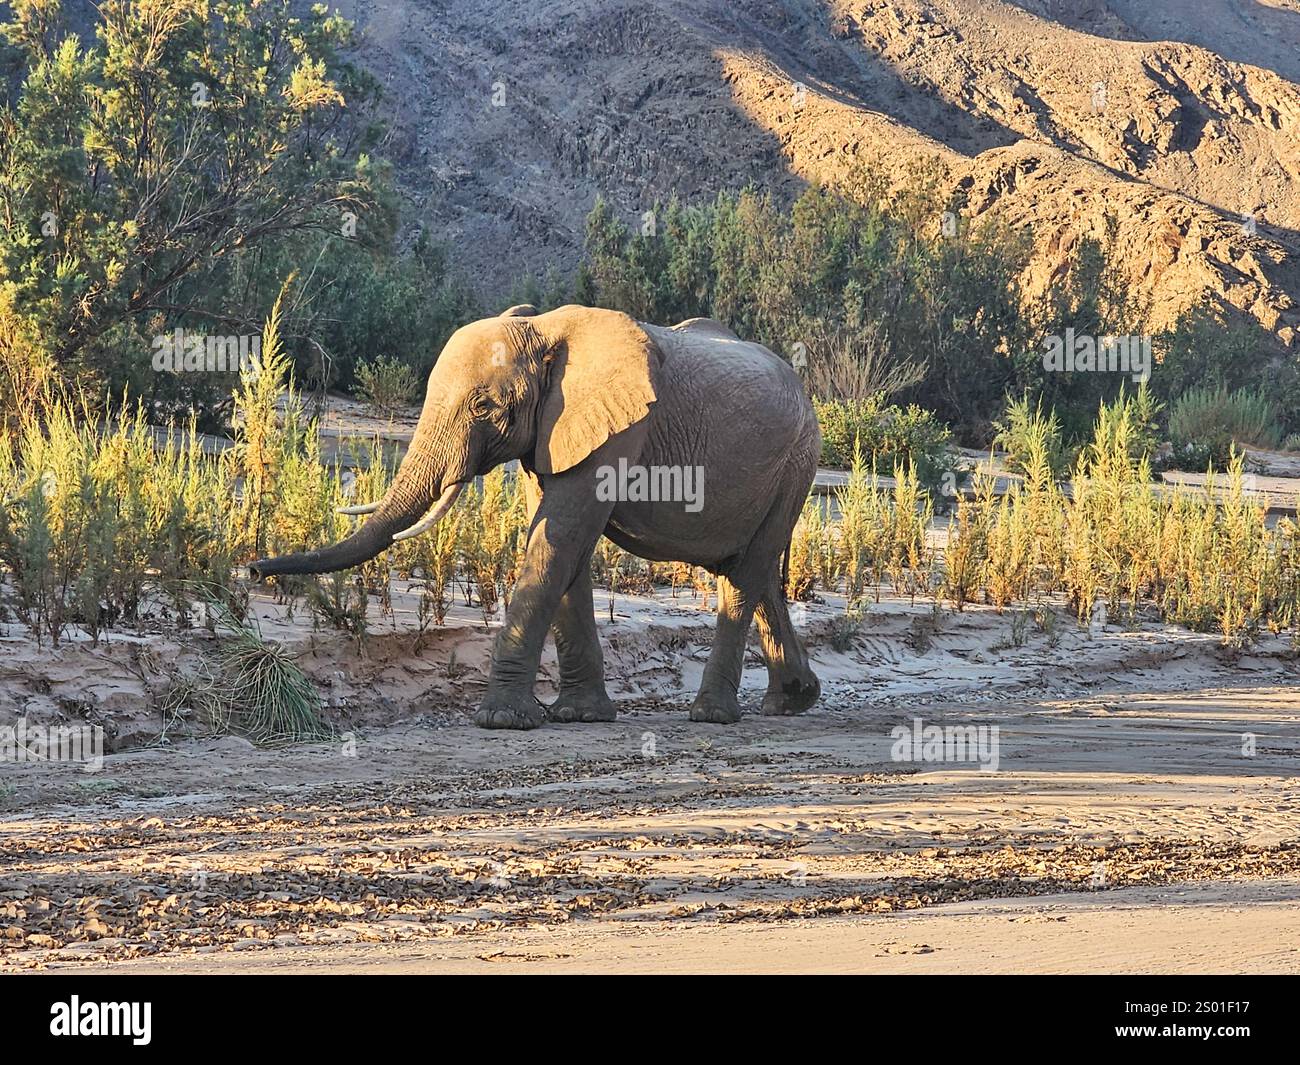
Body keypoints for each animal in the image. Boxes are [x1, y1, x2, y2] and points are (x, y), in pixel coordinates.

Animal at [251, 304, 822, 730]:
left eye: (483, 406)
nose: (255, 568)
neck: (545, 330)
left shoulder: (617, 427)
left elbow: (559, 540)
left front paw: (501, 721)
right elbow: (561, 545)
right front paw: (579, 716)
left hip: (797, 462)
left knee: (747, 573)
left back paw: (712, 716)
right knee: (751, 572)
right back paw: (792, 702)